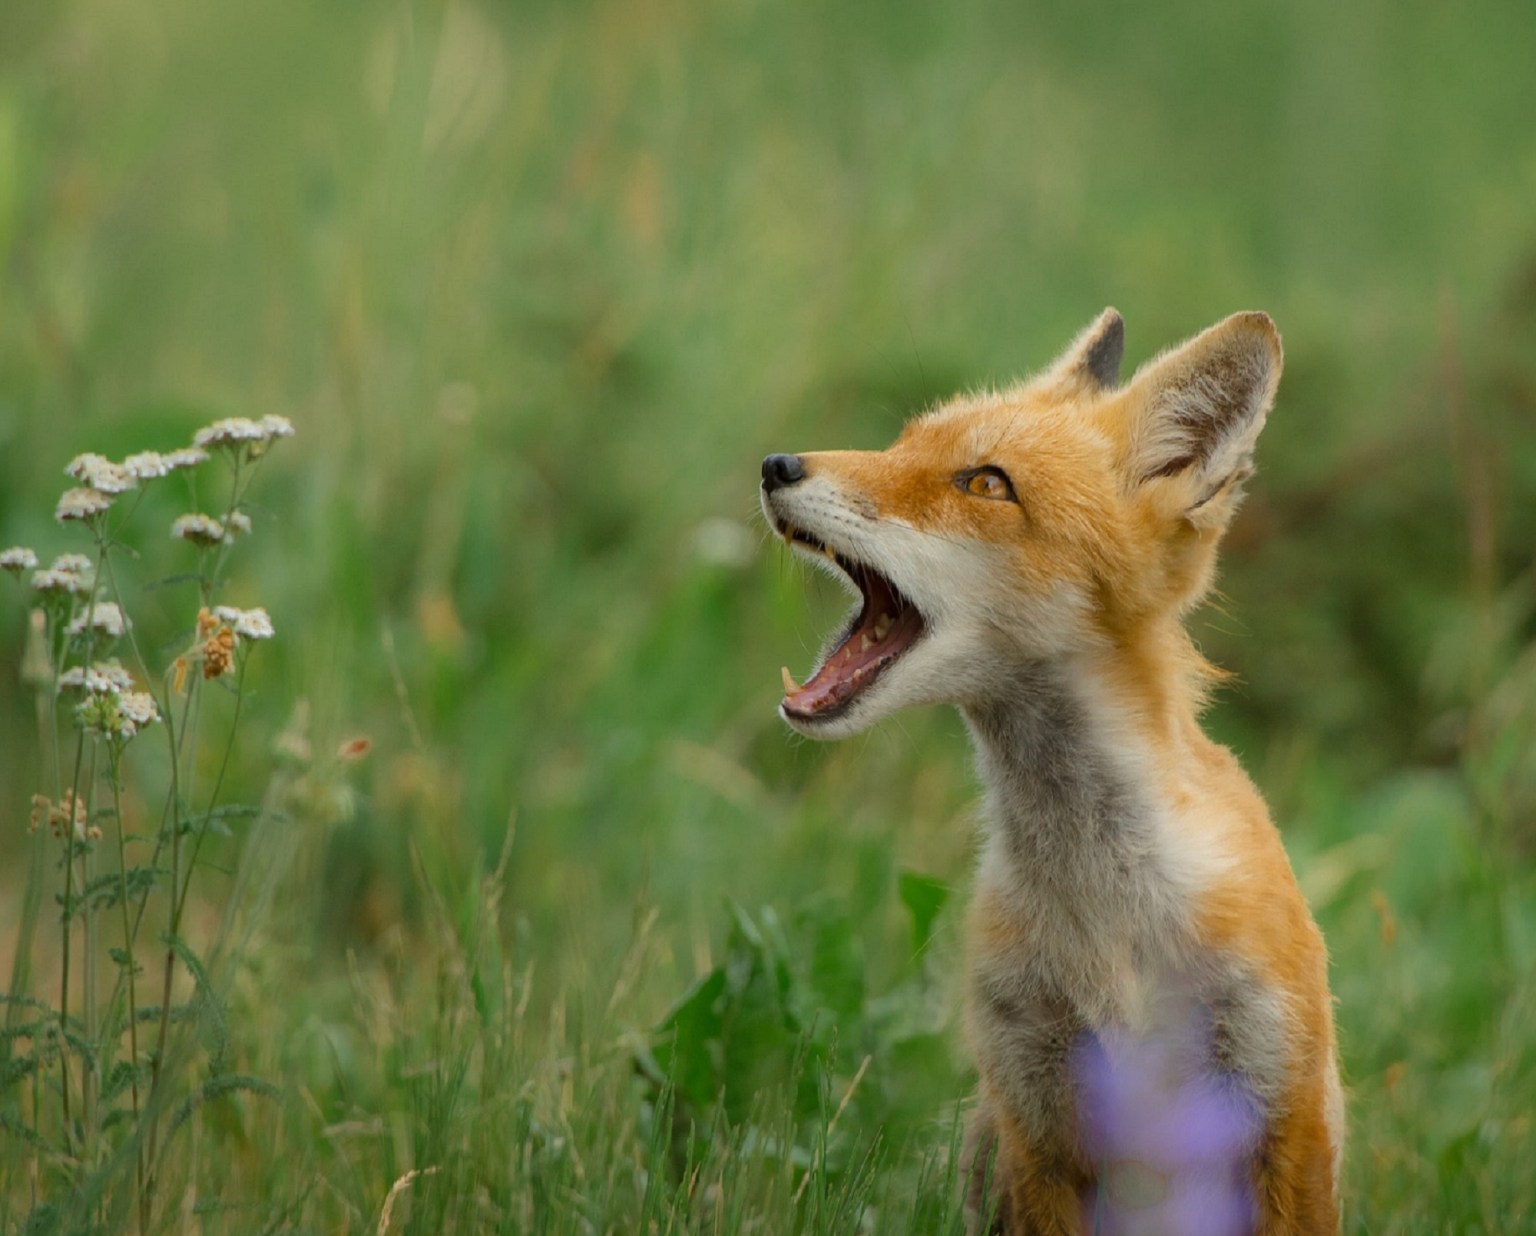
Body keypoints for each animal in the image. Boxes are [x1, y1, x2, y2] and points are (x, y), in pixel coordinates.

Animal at [759, 309, 1342, 1234]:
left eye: (986, 484)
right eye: (902, 444)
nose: (776, 466)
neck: (1104, 911)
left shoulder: (1285, 1108)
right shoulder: (1035, 1122)